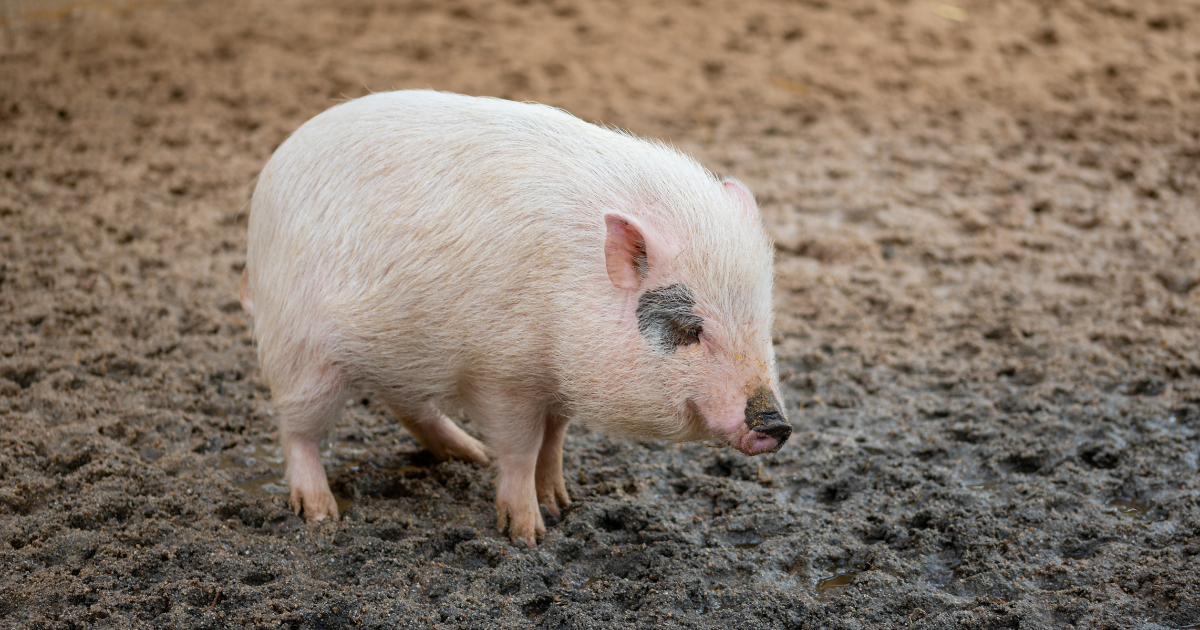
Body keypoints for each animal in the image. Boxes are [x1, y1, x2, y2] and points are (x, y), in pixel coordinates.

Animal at [240, 90, 790, 547]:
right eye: (692, 331)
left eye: (764, 322)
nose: (777, 424)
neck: (568, 296)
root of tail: (270, 173)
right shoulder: (503, 373)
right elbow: (521, 448)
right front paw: (528, 536)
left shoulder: (556, 382)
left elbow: (555, 441)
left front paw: (563, 503)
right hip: (299, 346)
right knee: (295, 430)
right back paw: (321, 515)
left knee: (405, 404)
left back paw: (467, 455)